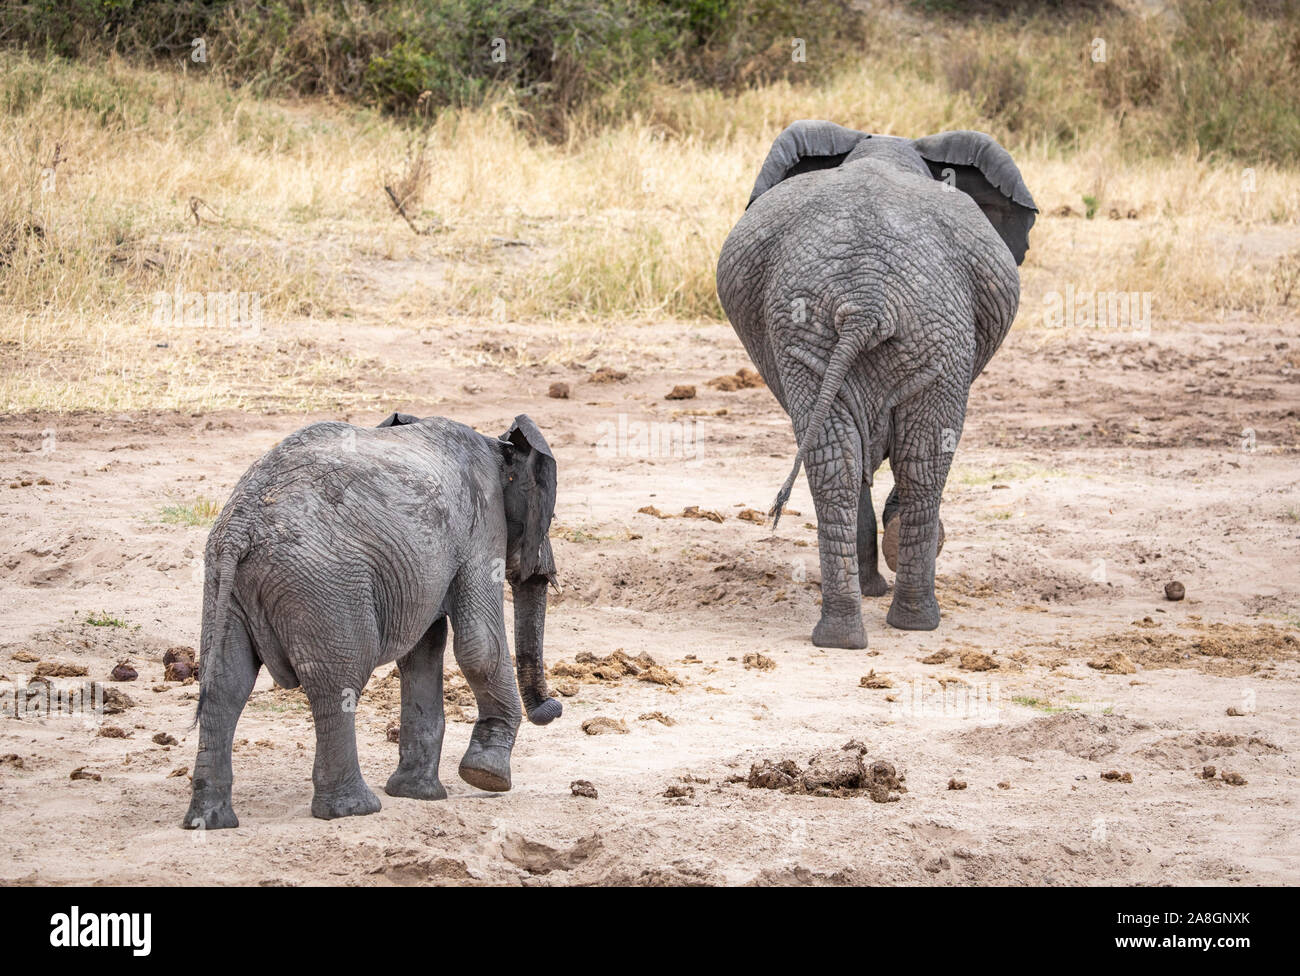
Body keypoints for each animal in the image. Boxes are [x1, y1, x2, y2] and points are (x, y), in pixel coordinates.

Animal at [183, 411, 562, 829]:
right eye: (550, 516)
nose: (554, 707)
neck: (496, 445)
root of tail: (240, 530)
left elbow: (421, 655)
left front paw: (418, 795)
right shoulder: (481, 528)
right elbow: (479, 646)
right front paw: (487, 777)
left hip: (224, 585)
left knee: (225, 684)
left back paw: (210, 822)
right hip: (324, 586)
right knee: (339, 680)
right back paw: (353, 809)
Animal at [716, 121, 1037, 649]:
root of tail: (866, 300)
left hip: (830, 338)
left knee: (846, 466)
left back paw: (849, 634)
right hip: (926, 335)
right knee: (918, 461)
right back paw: (911, 616)